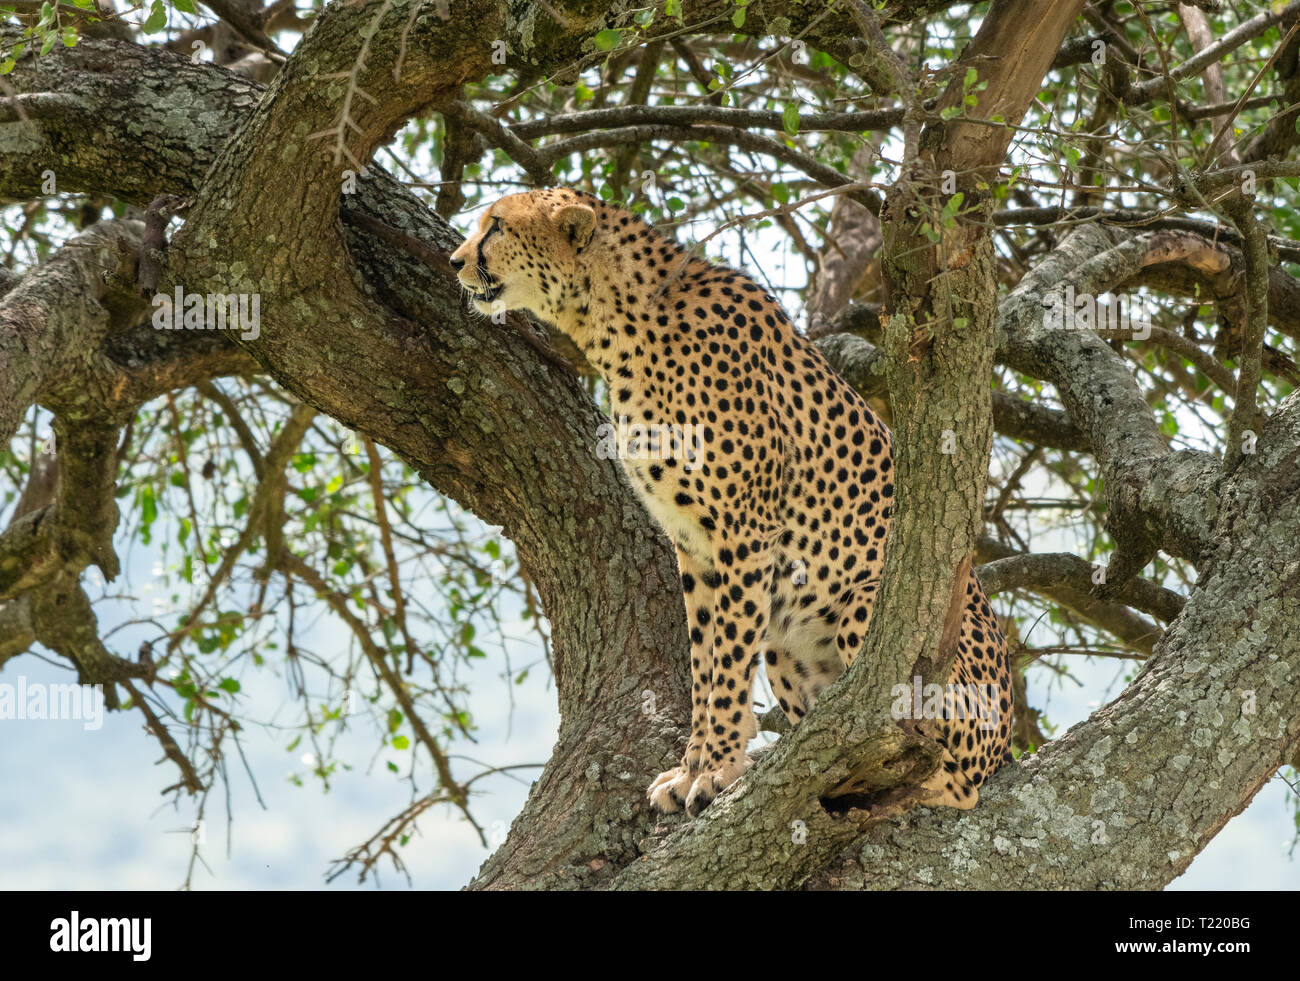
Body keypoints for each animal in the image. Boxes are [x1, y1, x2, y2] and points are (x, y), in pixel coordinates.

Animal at [449, 187, 1014, 817]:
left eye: (496, 227)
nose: (455, 261)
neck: (617, 322)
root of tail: (1005, 747)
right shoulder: (693, 545)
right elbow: (706, 660)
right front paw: (693, 766)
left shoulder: (745, 534)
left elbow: (728, 660)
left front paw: (717, 769)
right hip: (788, 651)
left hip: (869, 605)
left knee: (953, 780)